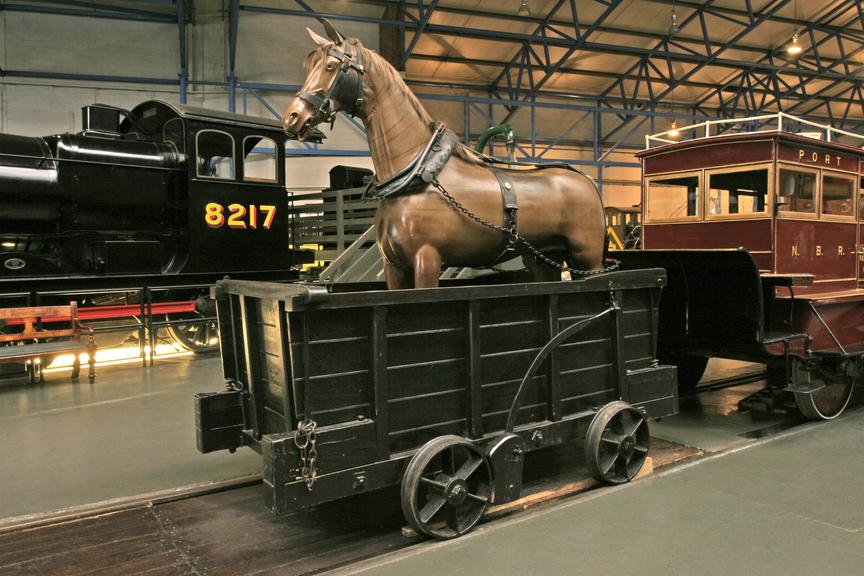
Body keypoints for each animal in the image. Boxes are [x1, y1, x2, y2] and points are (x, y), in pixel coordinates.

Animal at [282, 20, 607, 290]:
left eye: (331, 66)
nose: (293, 118)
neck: (416, 173)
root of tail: (588, 182)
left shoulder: (427, 259)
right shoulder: (394, 265)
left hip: (587, 257)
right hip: (542, 258)